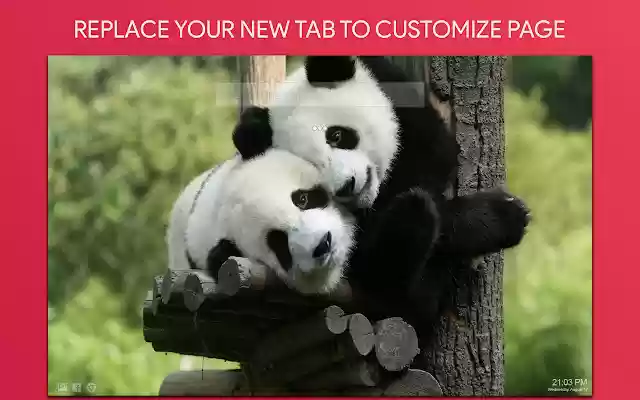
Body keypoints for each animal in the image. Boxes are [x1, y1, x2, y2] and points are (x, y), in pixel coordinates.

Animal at [232, 56, 531, 337]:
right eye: (312, 166)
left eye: (337, 135)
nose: (347, 186)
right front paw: (503, 216)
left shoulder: (404, 108)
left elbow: (437, 155)